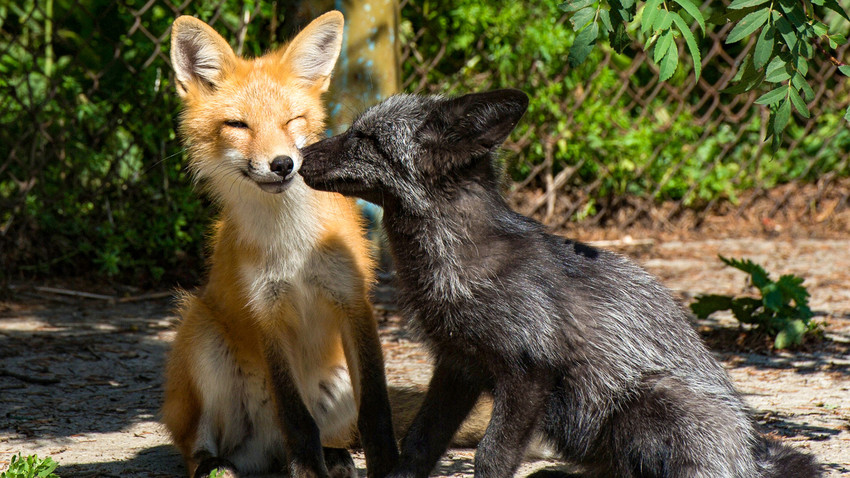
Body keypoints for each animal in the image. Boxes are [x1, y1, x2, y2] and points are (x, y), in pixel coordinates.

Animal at [162, 12, 400, 478]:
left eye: (293, 121)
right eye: (238, 125)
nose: (283, 164)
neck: (293, 245)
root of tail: (266, 451)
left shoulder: (353, 301)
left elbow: (377, 408)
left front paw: (388, 466)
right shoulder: (266, 312)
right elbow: (296, 416)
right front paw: (308, 469)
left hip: (338, 383)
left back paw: (333, 455)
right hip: (200, 333)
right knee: (199, 447)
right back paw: (217, 465)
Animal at [298, 89, 823, 478]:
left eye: (365, 139)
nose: (296, 157)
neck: (457, 265)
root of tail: (751, 453)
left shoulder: (529, 371)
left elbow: (491, 457)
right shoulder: (459, 364)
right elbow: (419, 445)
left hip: (647, 409)